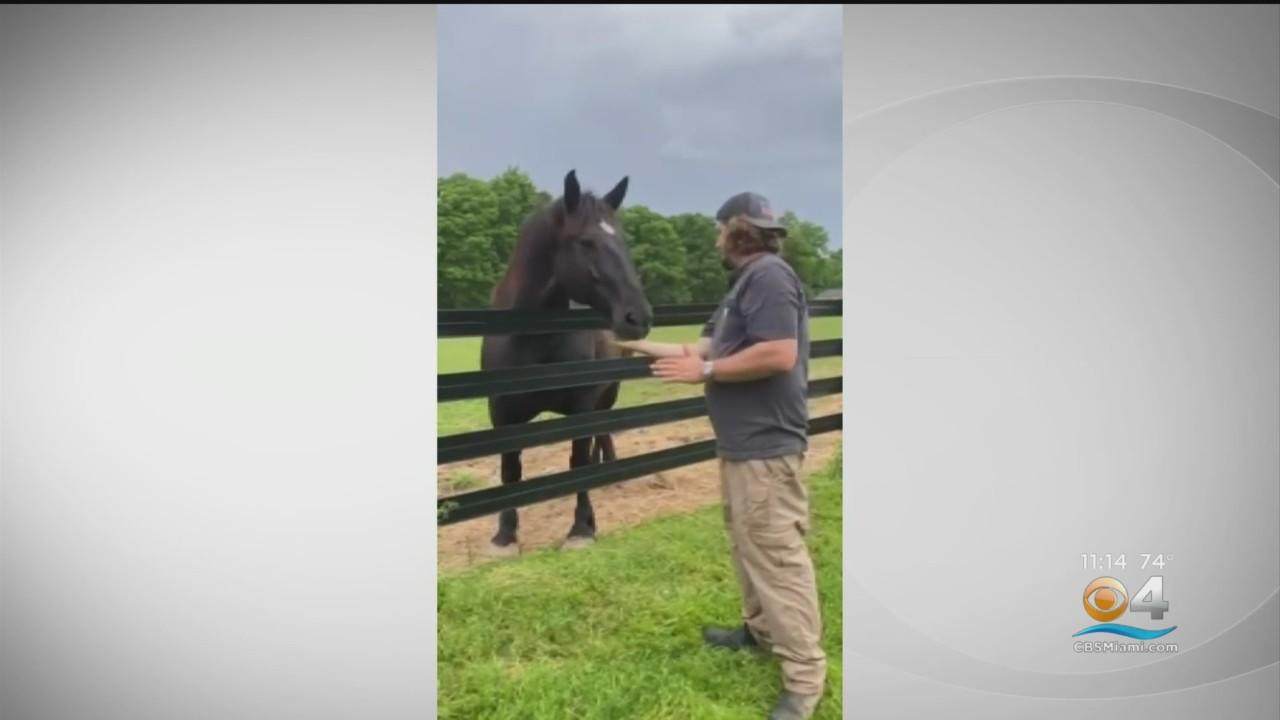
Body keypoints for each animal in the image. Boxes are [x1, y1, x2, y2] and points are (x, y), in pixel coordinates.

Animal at [480, 169, 653, 556]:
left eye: (622, 241)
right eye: (586, 242)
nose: (638, 317)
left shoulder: (581, 407)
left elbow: (579, 462)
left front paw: (581, 529)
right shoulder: (501, 412)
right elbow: (510, 469)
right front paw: (504, 537)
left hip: (608, 393)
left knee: (603, 432)